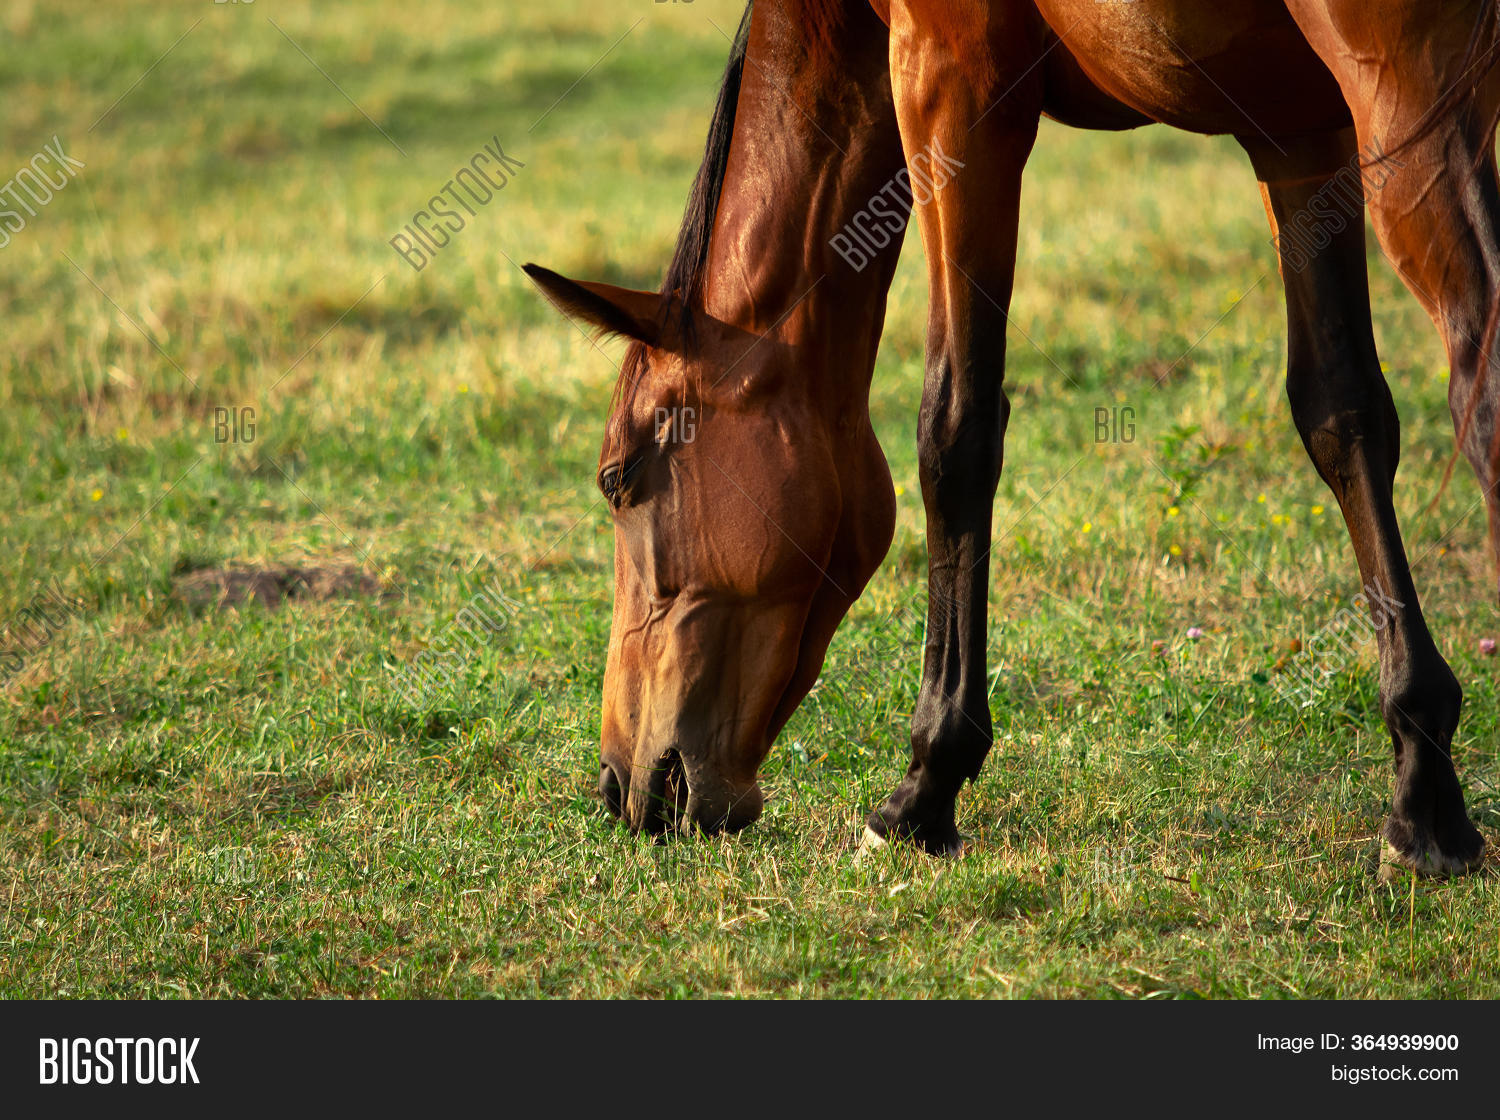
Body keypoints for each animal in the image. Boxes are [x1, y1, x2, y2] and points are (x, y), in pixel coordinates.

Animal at [525, 0, 1500, 877]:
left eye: (618, 479)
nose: (614, 785)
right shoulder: (1296, 126)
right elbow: (1343, 414)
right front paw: (1423, 797)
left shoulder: (950, 78)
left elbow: (954, 429)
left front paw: (923, 790)